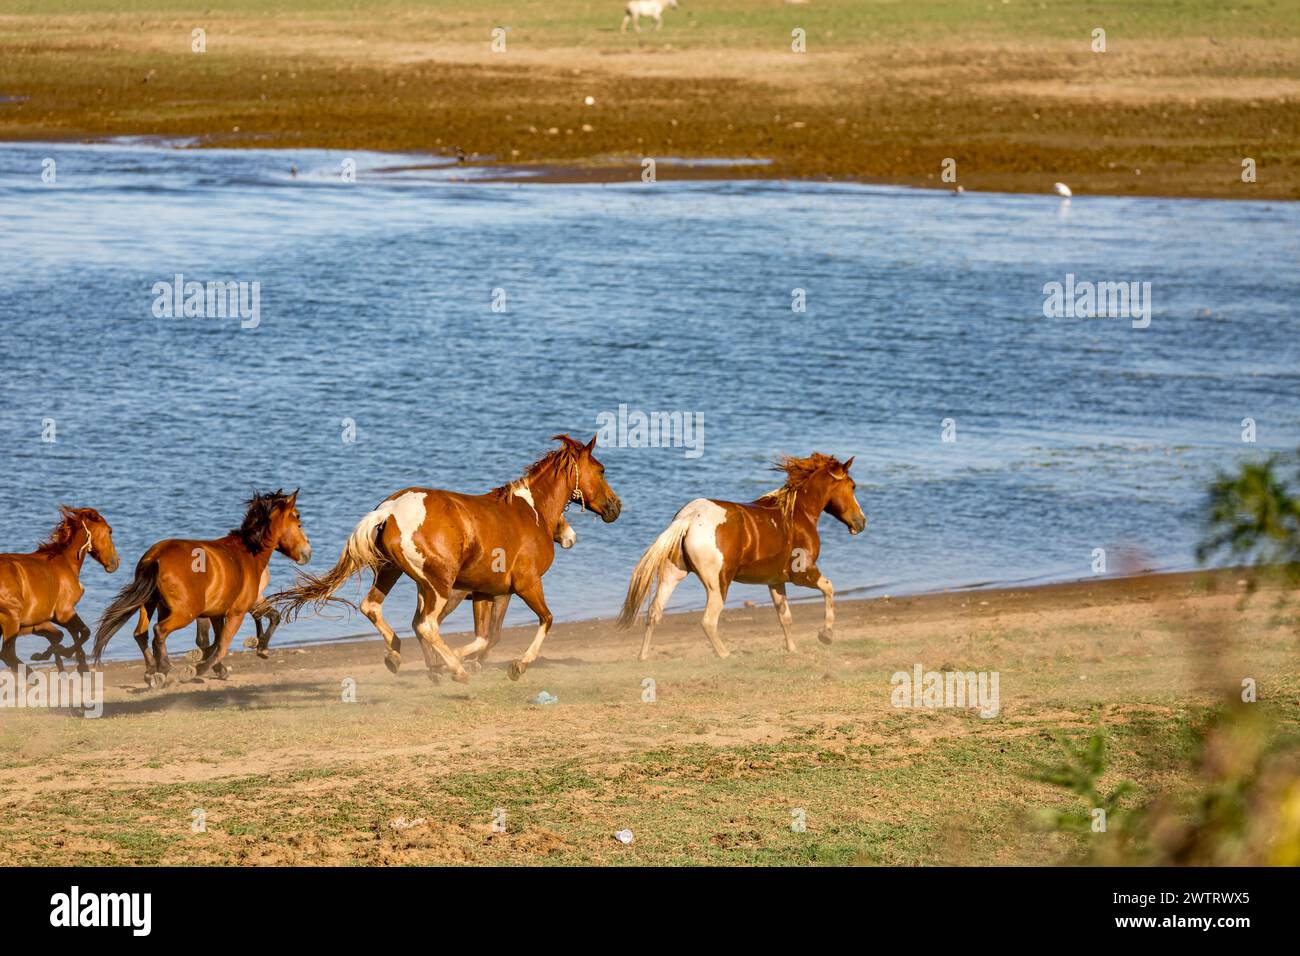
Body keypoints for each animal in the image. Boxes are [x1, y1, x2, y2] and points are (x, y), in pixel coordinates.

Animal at [0, 507, 120, 673]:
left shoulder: (50, 619)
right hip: (11, 619)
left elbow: (65, 635)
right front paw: (65, 653)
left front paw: (74, 663)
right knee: (7, 653)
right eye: (110, 531)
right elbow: (83, 632)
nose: (115, 562)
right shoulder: (64, 612)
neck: (65, 563)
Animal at [93, 490, 311, 686]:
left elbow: (215, 640)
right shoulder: (237, 613)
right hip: (185, 612)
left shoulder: (216, 613)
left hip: (151, 604)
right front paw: (199, 669)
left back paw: (151, 673)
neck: (247, 553)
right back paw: (163, 669)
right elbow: (221, 645)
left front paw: (239, 659)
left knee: (141, 634)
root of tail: (155, 557)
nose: (308, 552)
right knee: (159, 631)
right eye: (299, 523)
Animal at [272, 435, 620, 683]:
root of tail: (390, 509)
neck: (530, 512)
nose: (615, 507)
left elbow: (485, 636)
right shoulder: (524, 585)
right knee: (425, 624)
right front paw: (515, 666)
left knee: (375, 607)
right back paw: (454, 670)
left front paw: (464, 659)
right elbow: (542, 621)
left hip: (392, 571)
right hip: (439, 584)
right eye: (601, 470)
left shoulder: (485, 592)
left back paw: (400, 656)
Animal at [619, 453, 865, 660]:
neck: (798, 514)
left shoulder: (775, 581)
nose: (861, 522)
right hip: (717, 584)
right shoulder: (803, 574)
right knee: (708, 621)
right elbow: (829, 588)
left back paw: (643, 657)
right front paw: (826, 635)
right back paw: (725, 655)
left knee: (654, 612)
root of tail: (687, 519)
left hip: (673, 574)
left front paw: (792, 650)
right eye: (852, 486)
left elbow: (785, 617)